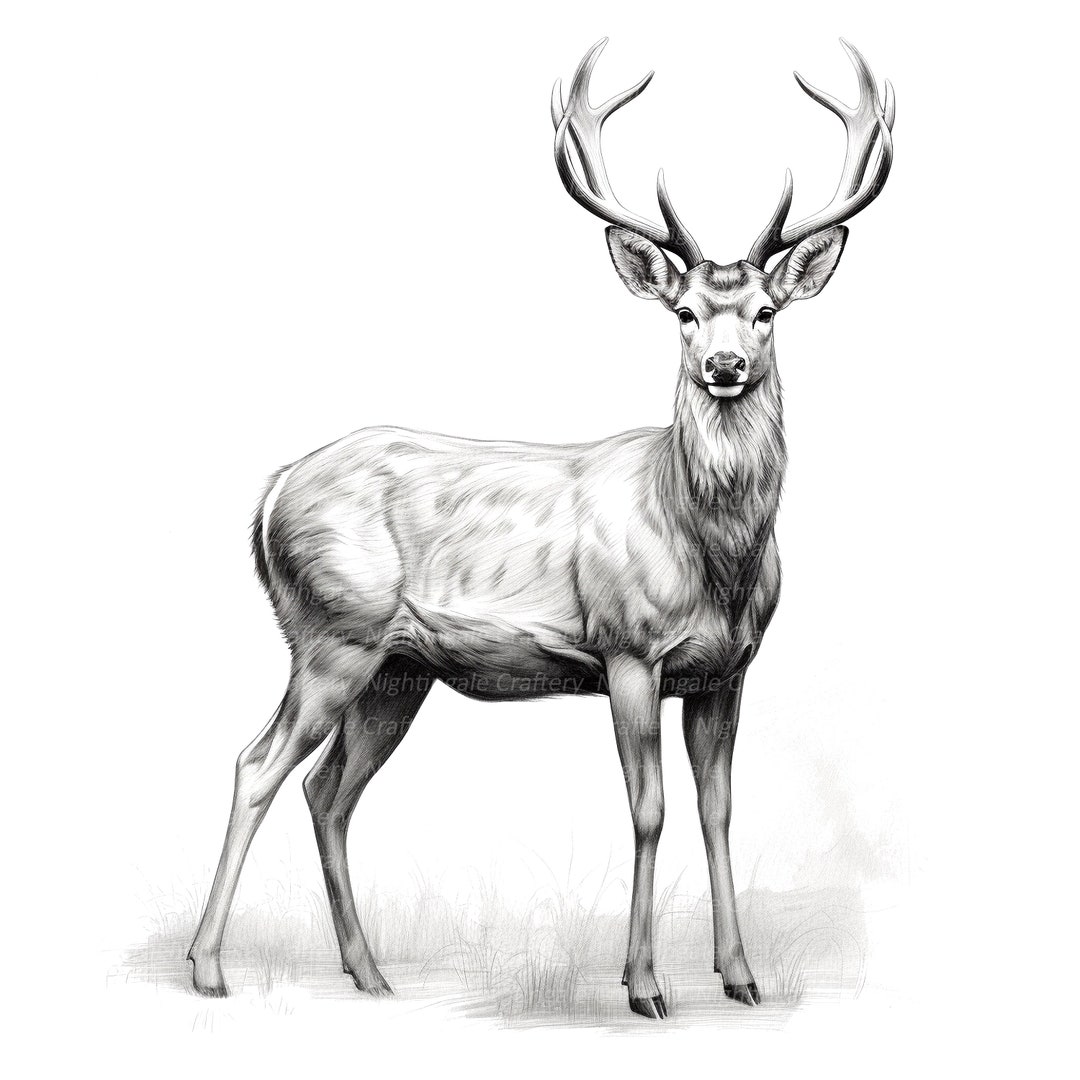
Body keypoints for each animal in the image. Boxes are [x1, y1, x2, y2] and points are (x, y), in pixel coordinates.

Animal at [188, 38, 894, 1019]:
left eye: (766, 312)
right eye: (682, 314)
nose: (724, 365)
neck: (711, 551)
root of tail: (270, 493)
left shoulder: (728, 670)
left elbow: (718, 810)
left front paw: (741, 977)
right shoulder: (628, 649)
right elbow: (649, 809)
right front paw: (645, 987)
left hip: (396, 671)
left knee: (329, 791)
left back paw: (369, 973)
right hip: (332, 633)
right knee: (257, 765)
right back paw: (208, 968)